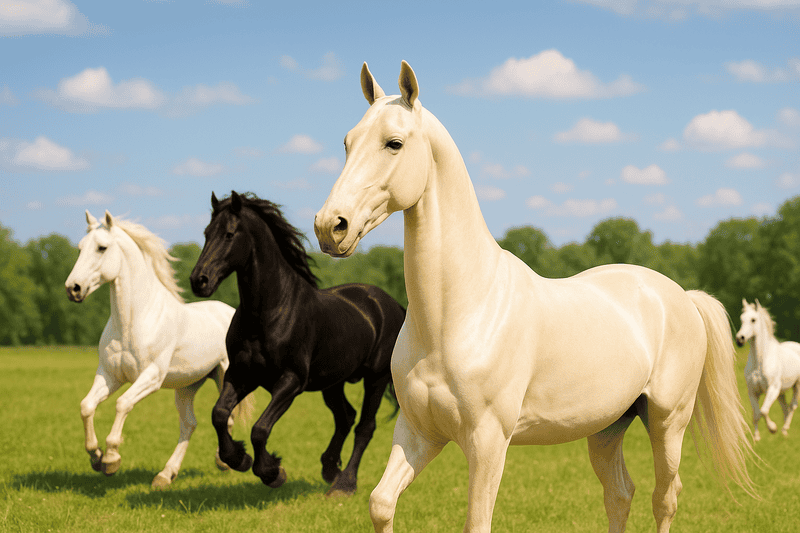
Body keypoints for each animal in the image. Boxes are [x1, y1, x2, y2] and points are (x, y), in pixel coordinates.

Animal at [65, 210, 253, 488]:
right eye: (80, 248)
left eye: (102, 248)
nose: (73, 288)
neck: (132, 322)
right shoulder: (110, 375)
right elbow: (86, 406)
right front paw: (95, 457)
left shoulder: (150, 377)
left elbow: (122, 404)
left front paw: (111, 458)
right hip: (188, 386)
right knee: (190, 424)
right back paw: (166, 475)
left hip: (224, 375)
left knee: (223, 416)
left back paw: (222, 461)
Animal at [188, 191, 406, 496]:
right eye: (207, 233)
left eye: (229, 234)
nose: (199, 280)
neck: (268, 313)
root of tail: (392, 305)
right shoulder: (241, 374)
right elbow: (219, 414)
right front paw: (239, 459)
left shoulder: (291, 381)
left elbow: (260, 429)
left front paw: (272, 473)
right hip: (333, 381)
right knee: (345, 417)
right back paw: (330, 469)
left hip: (375, 378)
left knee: (364, 426)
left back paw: (344, 484)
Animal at [314, 61, 755, 532]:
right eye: (348, 142)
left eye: (394, 143)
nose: (330, 226)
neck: (461, 312)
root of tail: (681, 297)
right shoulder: (418, 432)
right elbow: (381, 503)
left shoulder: (488, 442)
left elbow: (477, 522)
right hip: (607, 428)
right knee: (620, 494)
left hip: (668, 421)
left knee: (665, 497)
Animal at [736, 298, 800, 441]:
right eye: (741, 318)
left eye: (753, 320)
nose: (739, 339)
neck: (760, 362)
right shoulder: (753, 392)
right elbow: (756, 415)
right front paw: (756, 438)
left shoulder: (772, 389)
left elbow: (764, 411)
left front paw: (772, 429)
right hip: (781, 392)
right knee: (785, 408)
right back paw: (784, 433)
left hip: (796, 387)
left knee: (792, 406)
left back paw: (784, 429)